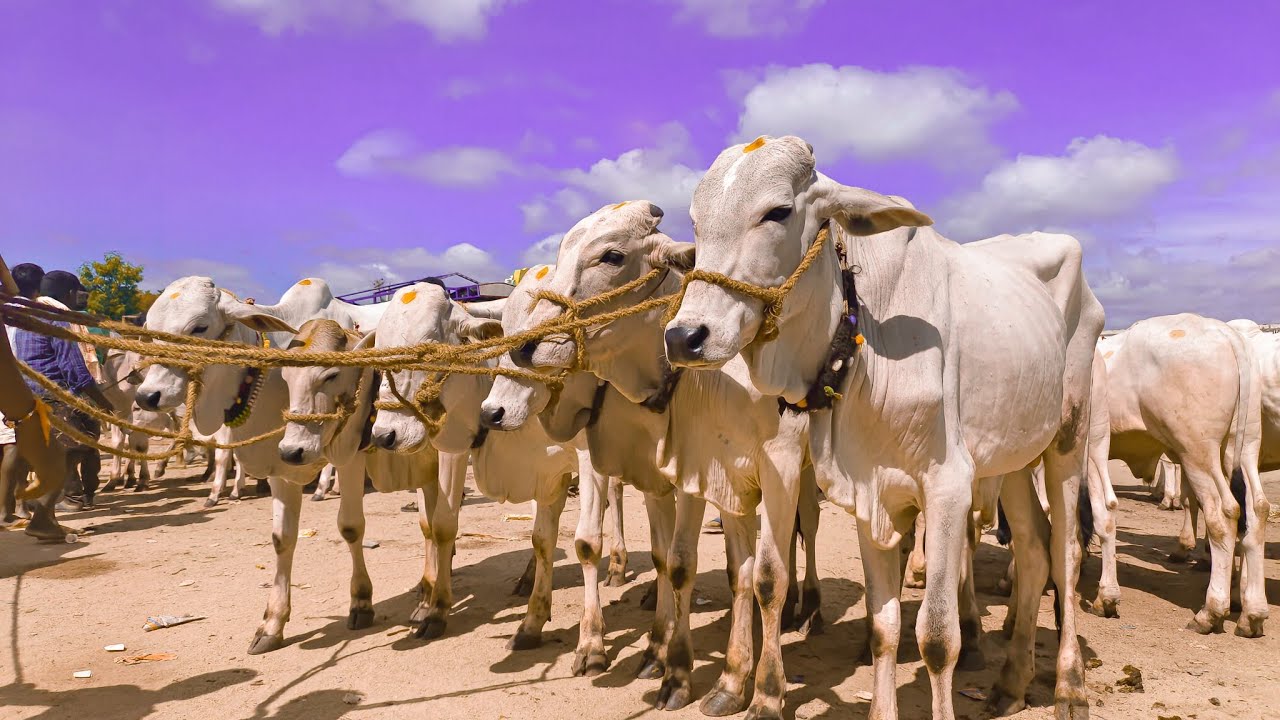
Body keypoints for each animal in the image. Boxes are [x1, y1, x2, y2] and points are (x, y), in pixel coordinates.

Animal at [135, 276, 387, 654]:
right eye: (150, 327)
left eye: (199, 326)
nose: (146, 396)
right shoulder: (283, 464)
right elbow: (282, 539)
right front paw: (273, 623)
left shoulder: (351, 454)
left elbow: (351, 527)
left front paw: (361, 602)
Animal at [509, 202, 825, 716]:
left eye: (612, 256)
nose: (525, 345)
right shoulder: (691, 477)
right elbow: (678, 563)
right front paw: (664, 658)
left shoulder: (757, 468)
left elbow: (711, 568)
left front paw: (704, 678)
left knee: (815, 530)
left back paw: (814, 607)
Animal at [663, 135, 1102, 719]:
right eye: (695, 222)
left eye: (777, 211)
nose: (685, 336)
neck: (864, 342)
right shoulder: (868, 492)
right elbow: (883, 628)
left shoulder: (947, 487)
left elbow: (937, 638)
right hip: (1011, 457)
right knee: (1033, 550)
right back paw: (1010, 684)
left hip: (1067, 439)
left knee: (1067, 553)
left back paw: (1070, 687)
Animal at [1100, 314, 1269, 637]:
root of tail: (1228, 335)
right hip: (1245, 447)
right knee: (1257, 510)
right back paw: (1252, 613)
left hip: (1197, 449)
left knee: (1223, 514)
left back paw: (1211, 611)